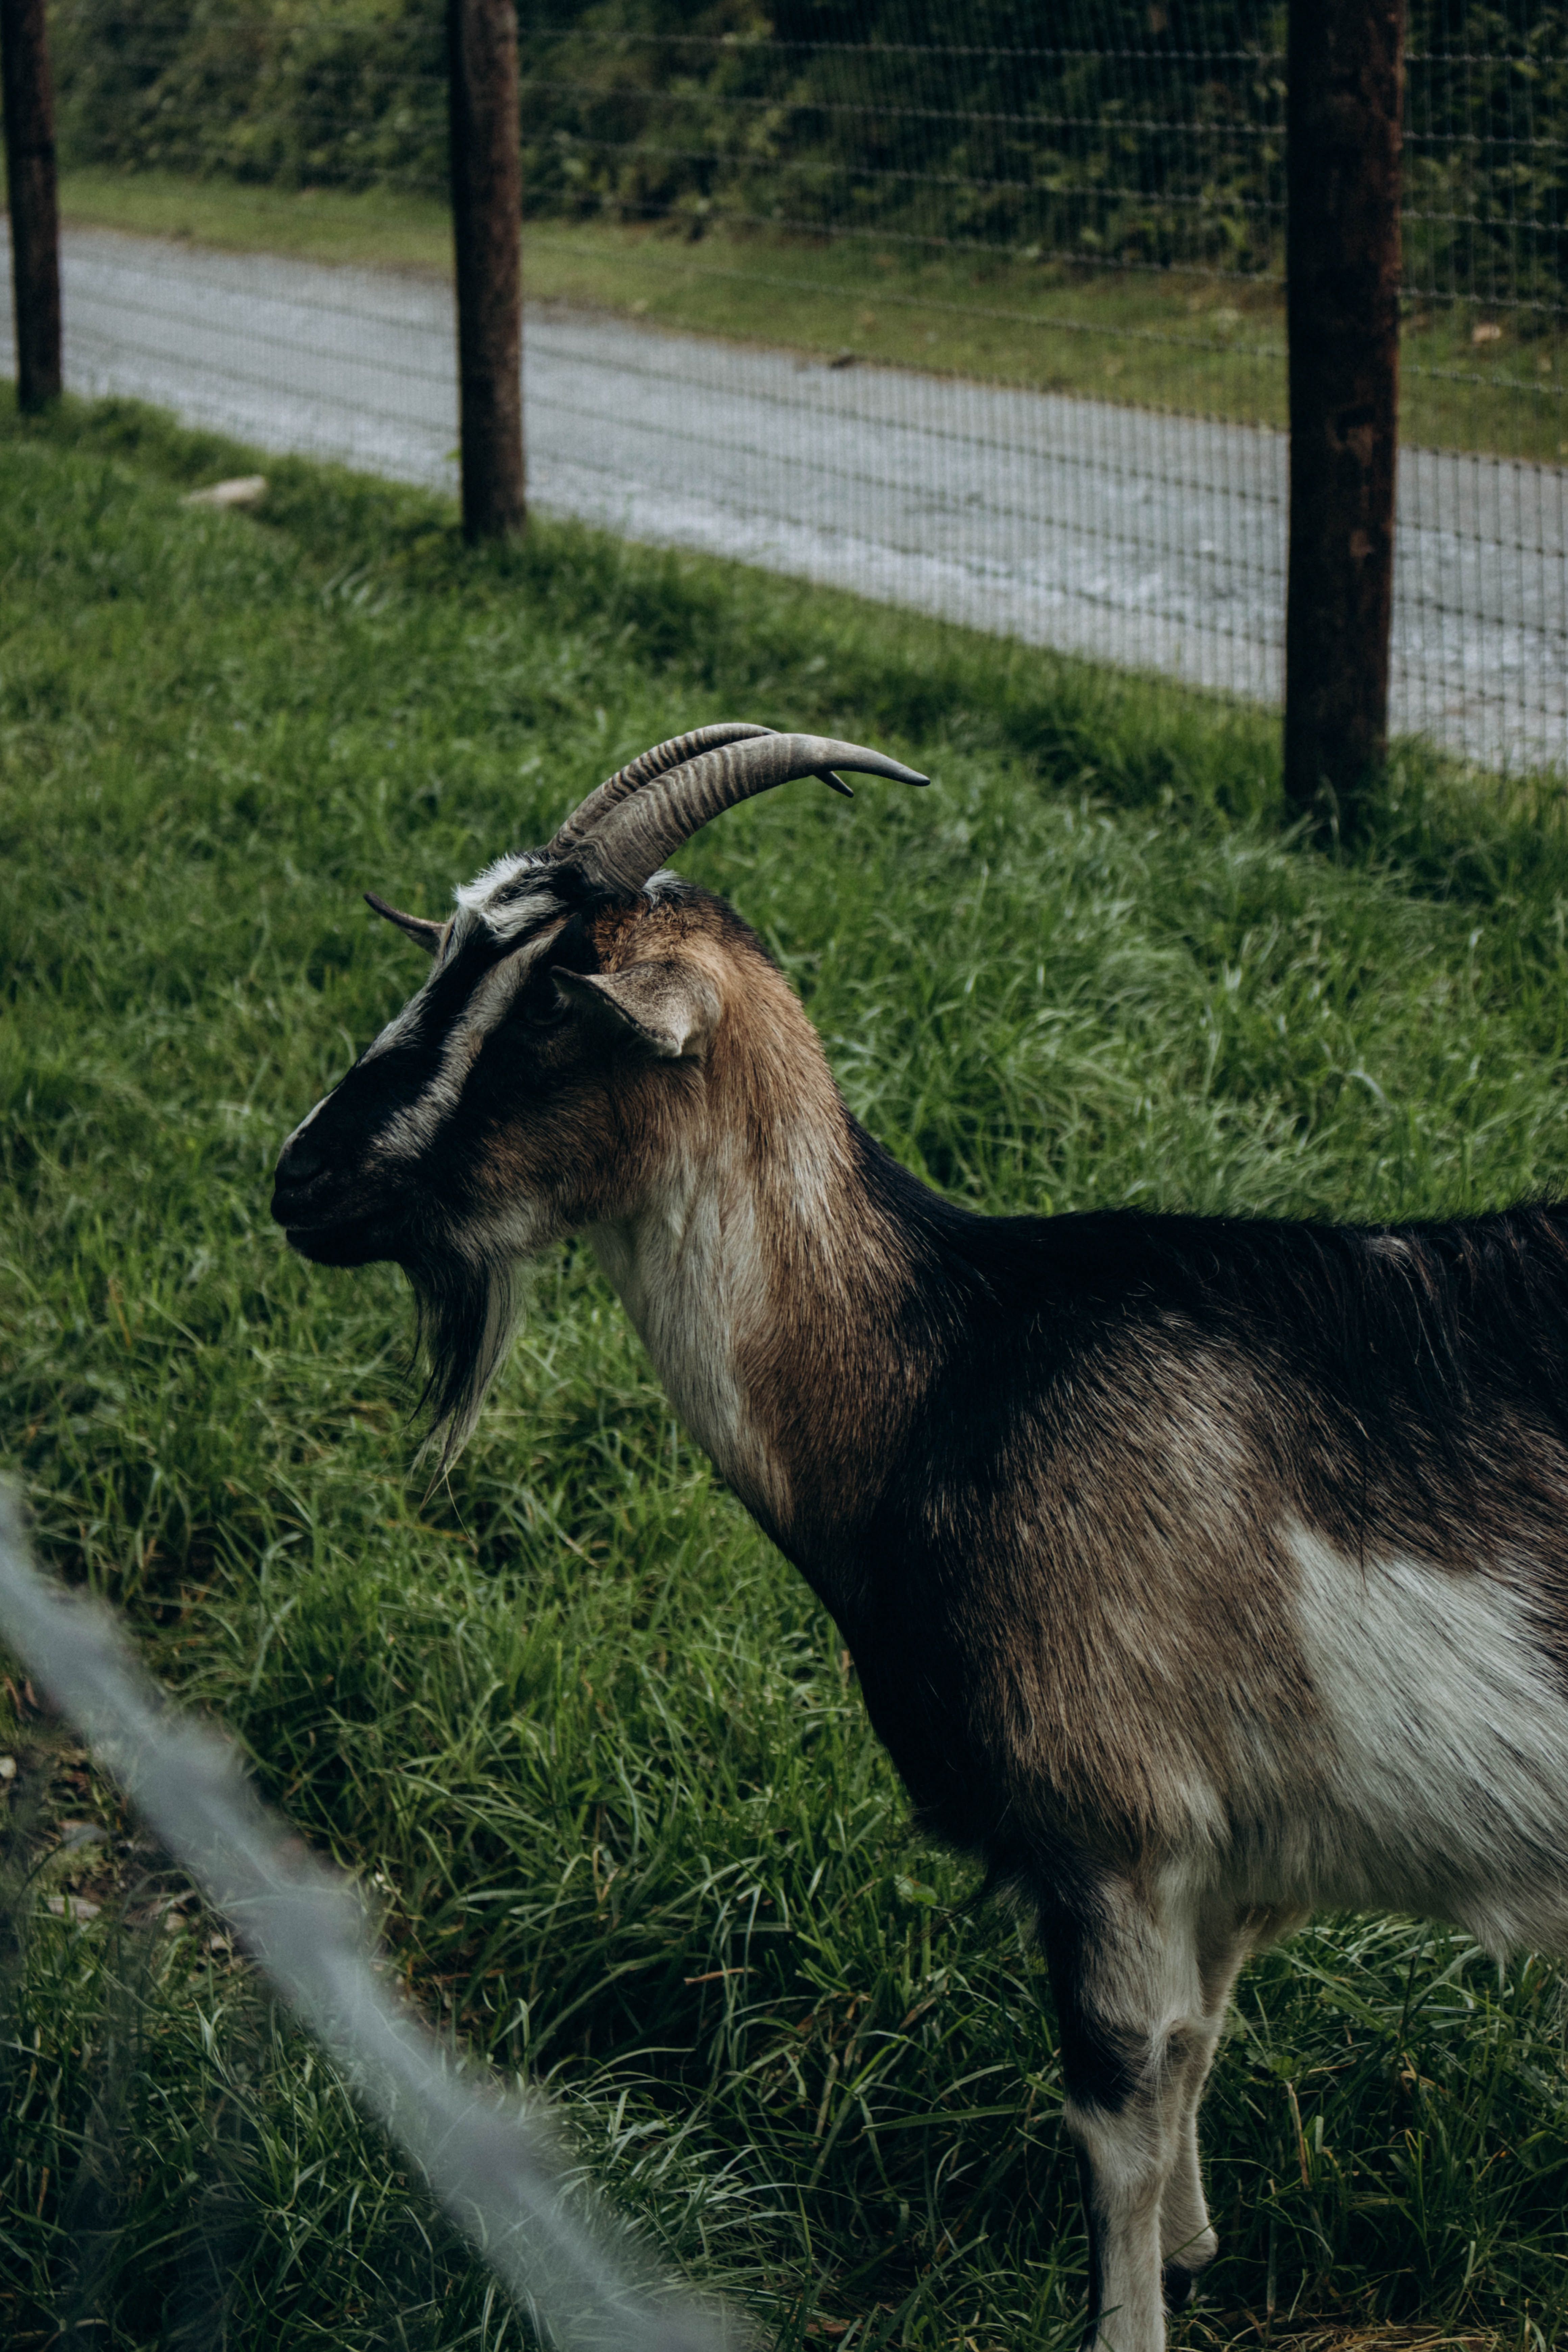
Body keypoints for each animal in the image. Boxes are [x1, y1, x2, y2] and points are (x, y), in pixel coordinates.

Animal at [273, 723, 1568, 2352]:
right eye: (447, 953)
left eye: (554, 1006)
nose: (300, 1183)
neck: (939, 1372)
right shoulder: (1213, 1851)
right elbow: (1197, 2048)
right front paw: (1202, 2247)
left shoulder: (1112, 1825)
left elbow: (1118, 2114)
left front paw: (1131, 2311)